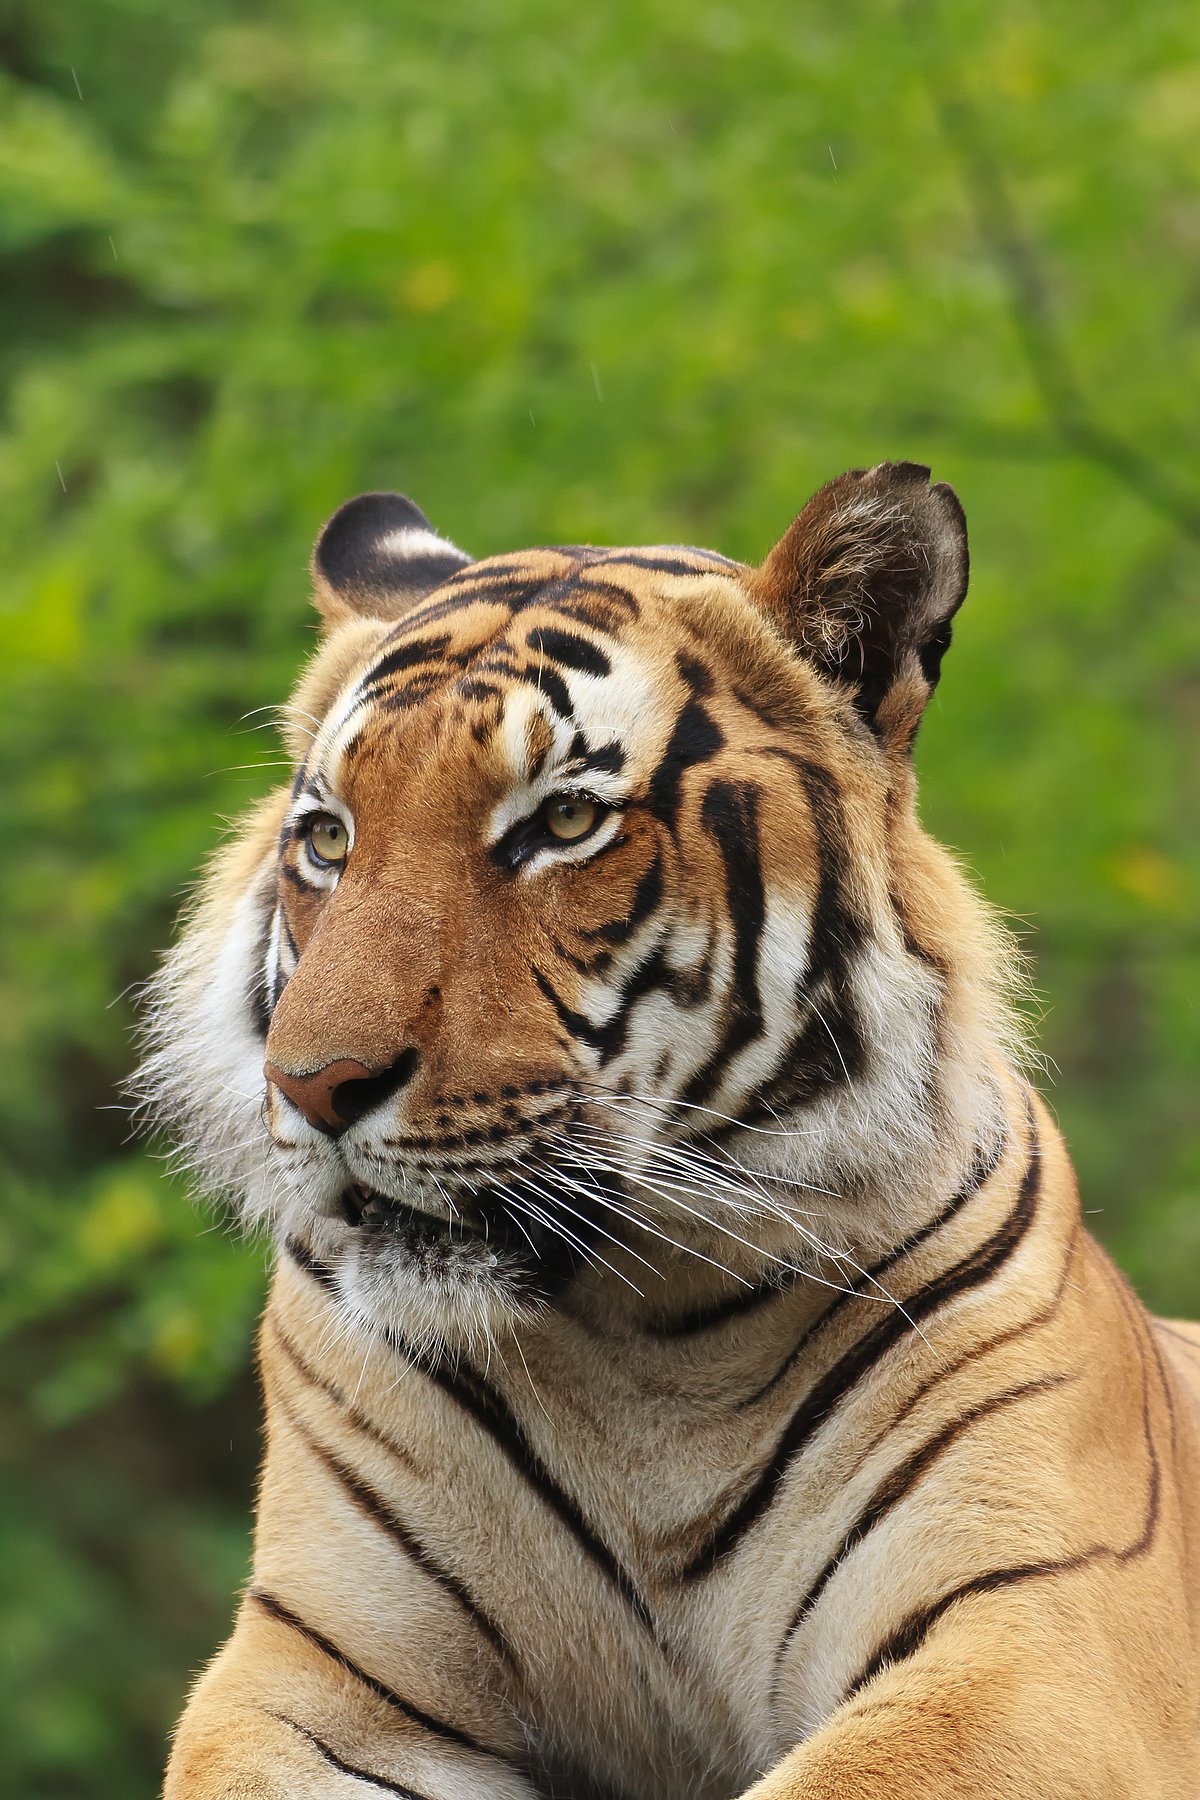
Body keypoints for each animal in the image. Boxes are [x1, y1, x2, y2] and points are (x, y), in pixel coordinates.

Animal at [135, 460, 1200, 1800]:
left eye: (562, 825)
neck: (648, 1342)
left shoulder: (1036, 1642)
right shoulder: (318, 1673)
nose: (314, 1086)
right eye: (330, 837)